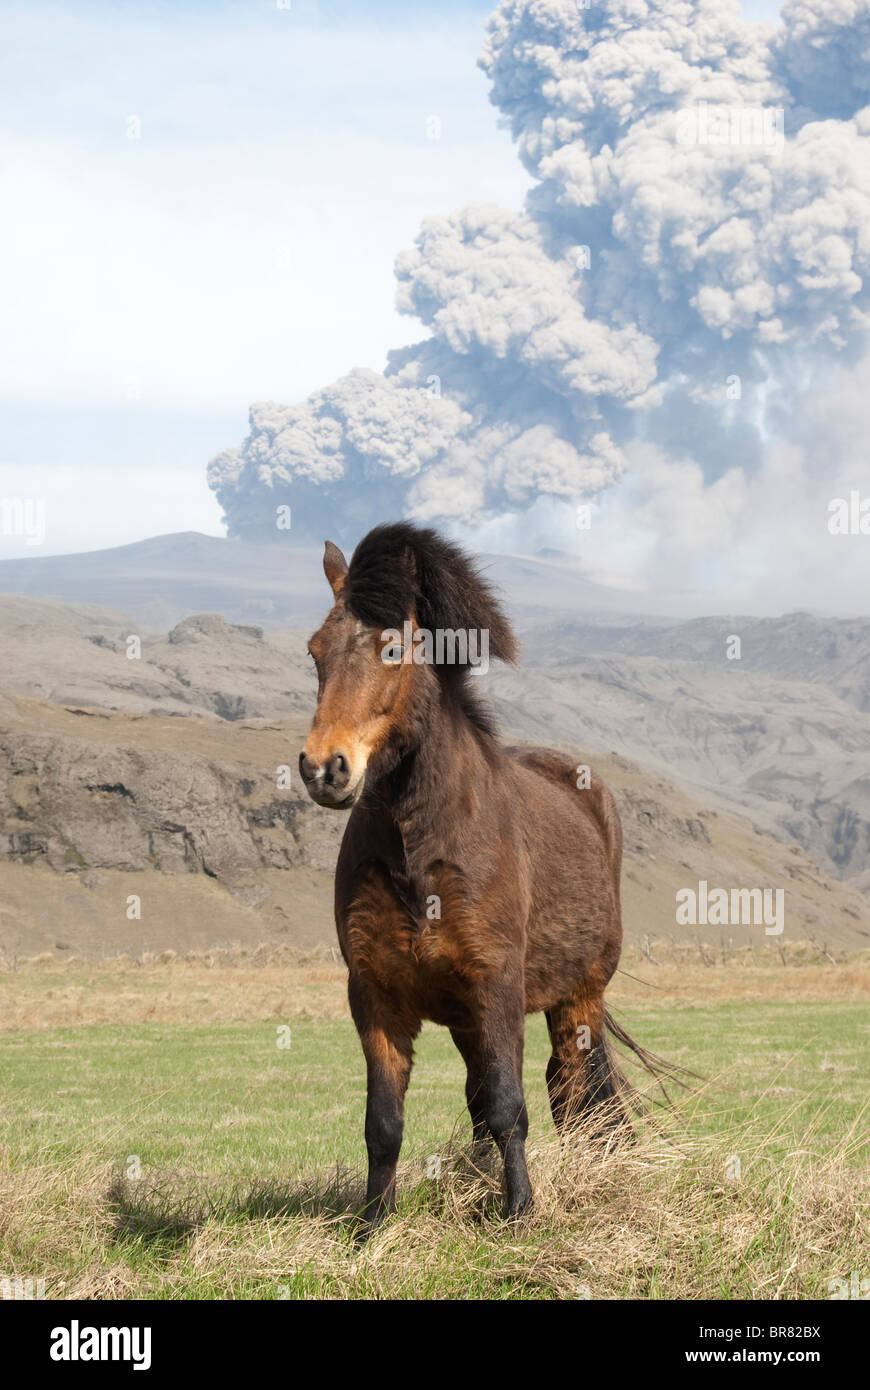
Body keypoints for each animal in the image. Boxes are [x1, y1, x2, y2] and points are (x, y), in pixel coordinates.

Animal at [299, 521, 650, 1231]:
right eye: (315, 652)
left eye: (393, 646)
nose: (324, 769)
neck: (422, 848)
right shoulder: (376, 995)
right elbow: (385, 1123)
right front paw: (372, 1227)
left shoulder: (497, 987)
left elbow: (510, 1106)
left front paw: (520, 1216)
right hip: (468, 1018)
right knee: (491, 1095)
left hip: (579, 996)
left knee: (569, 1085)